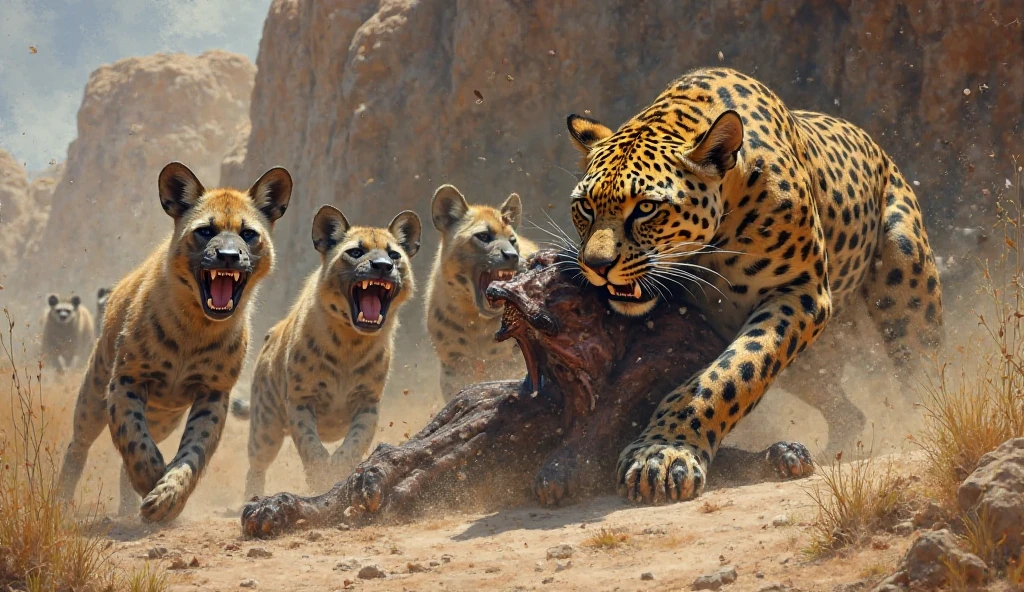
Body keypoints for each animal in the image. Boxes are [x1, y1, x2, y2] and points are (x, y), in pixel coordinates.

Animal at [55, 161, 292, 523]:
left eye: (248, 234)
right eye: (205, 231)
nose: (227, 256)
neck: (197, 327)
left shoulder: (213, 392)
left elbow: (194, 449)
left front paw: (166, 495)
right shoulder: (126, 380)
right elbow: (132, 435)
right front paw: (150, 476)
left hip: (165, 416)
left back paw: (129, 508)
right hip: (94, 392)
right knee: (78, 445)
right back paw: (60, 502)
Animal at [230, 205, 422, 499]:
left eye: (393, 255)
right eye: (356, 252)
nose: (382, 266)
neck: (350, 343)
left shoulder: (368, 403)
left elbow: (354, 443)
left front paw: (337, 471)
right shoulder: (301, 399)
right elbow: (310, 445)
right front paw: (321, 476)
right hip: (266, 426)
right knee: (257, 465)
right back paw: (252, 497)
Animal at [424, 184, 538, 402]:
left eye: (512, 240)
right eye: (484, 236)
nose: (512, 255)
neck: (476, 323)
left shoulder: (510, 361)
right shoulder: (454, 364)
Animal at [563, 67, 944, 504]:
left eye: (645, 208)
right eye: (585, 207)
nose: (596, 265)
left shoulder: (801, 293)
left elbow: (733, 372)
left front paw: (664, 452)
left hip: (907, 286)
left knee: (922, 366)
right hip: (811, 368)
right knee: (850, 412)